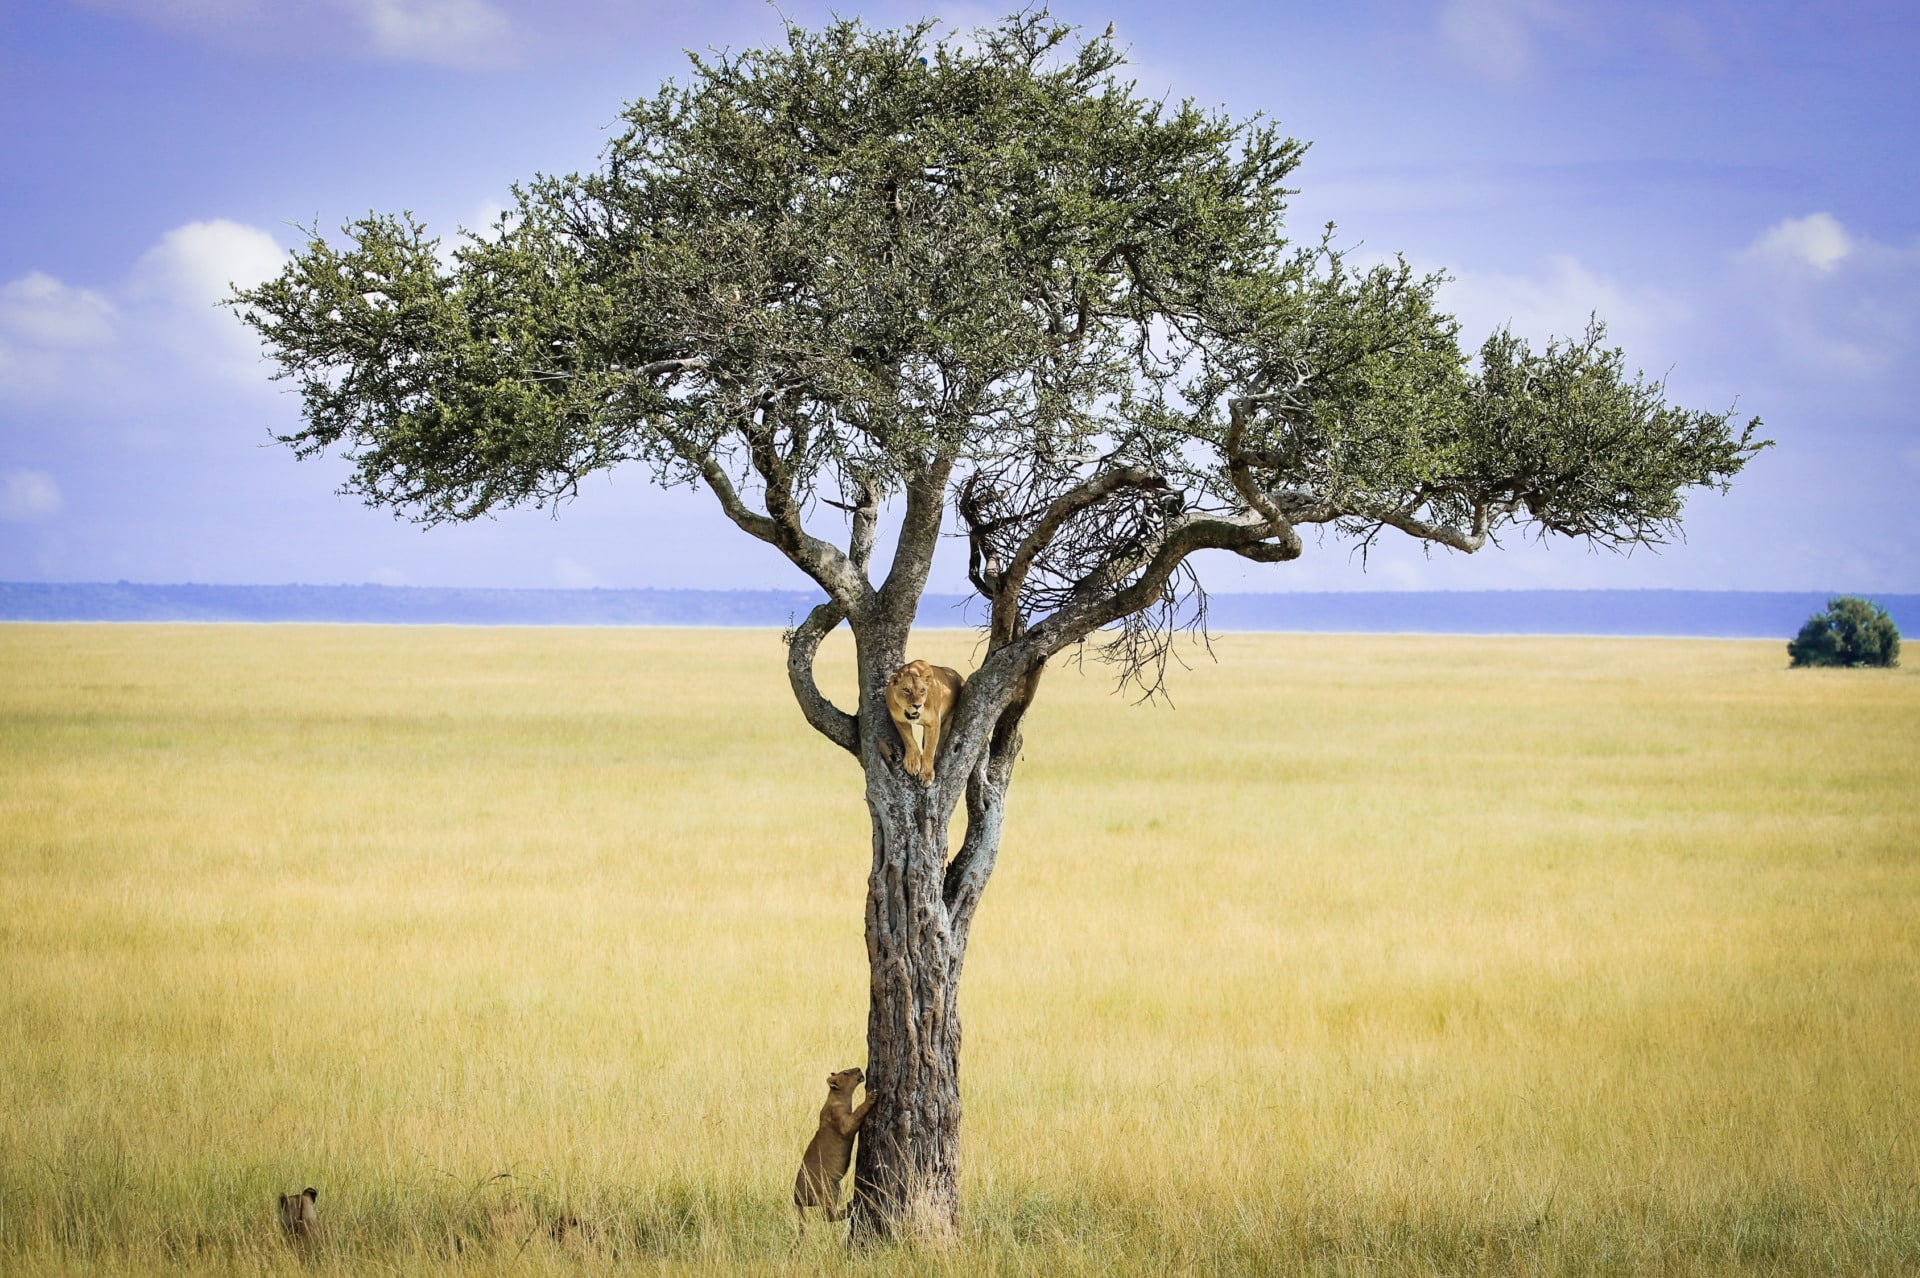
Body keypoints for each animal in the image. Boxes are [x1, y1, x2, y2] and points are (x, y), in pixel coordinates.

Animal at [793, 1066, 875, 1243]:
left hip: (834, 1187)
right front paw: (871, 1097)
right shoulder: (846, 1125)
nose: (859, 1068)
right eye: (845, 1073)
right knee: (828, 1216)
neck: (837, 1097)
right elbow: (858, 1111)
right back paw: (851, 1208)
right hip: (828, 1190)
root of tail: (797, 1200)